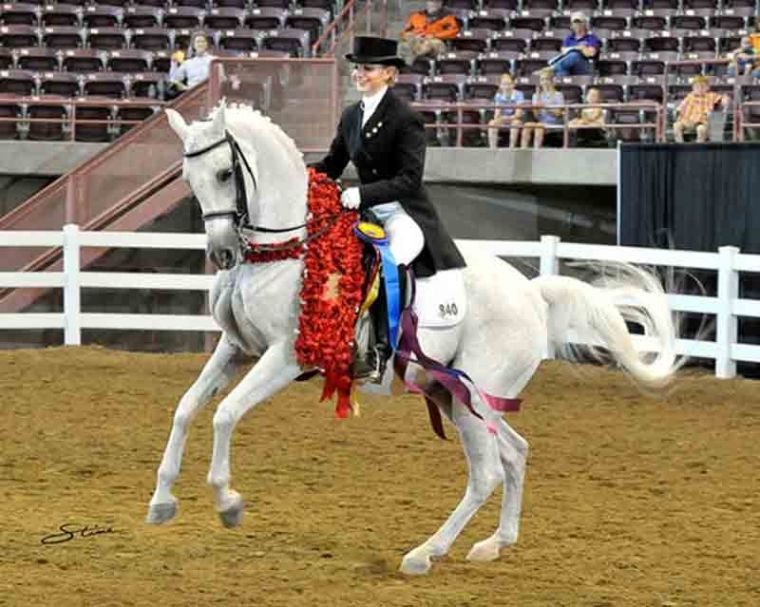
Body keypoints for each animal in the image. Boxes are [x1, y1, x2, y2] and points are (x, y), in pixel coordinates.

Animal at [146, 100, 679, 575]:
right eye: (187, 179)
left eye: (223, 174)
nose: (222, 254)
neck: (288, 247)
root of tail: (531, 294)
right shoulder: (235, 348)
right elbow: (186, 408)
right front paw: (162, 500)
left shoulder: (285, 356)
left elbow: (224, 414)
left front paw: (228, 503)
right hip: (453, 393)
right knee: (515, 452)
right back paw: (494, 543)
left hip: (473, 396)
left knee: (487, 471)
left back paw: (425, 553)